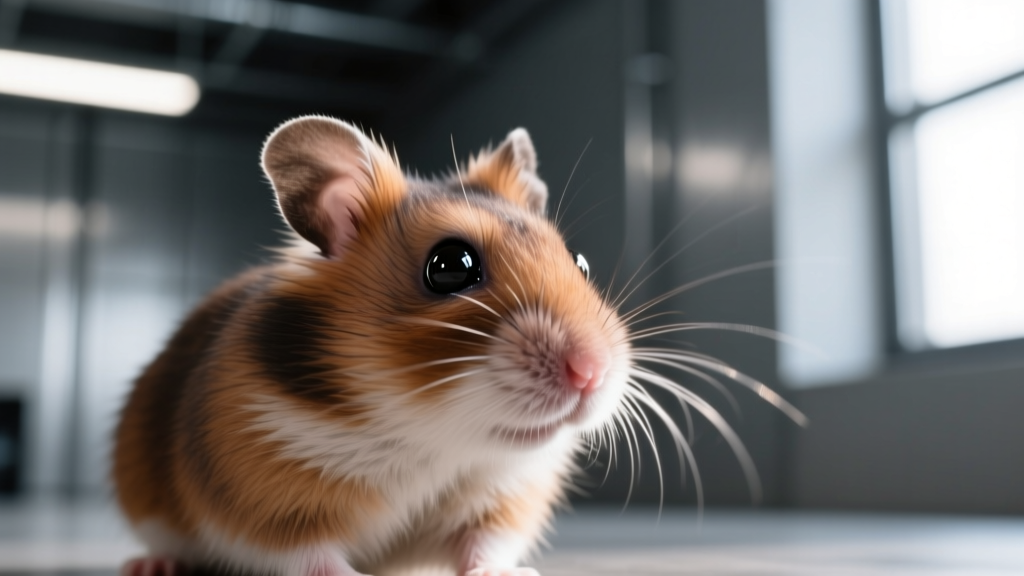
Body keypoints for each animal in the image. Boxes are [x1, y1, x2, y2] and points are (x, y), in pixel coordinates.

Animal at [112, 116, 800, 576]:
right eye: (449, 266)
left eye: (578, 263)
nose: (592, 373)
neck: (430, 435)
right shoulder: (260, 495)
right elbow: (312, 557)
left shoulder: (504, 499)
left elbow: (482, 550)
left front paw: (520, 574)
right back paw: (152, 567)